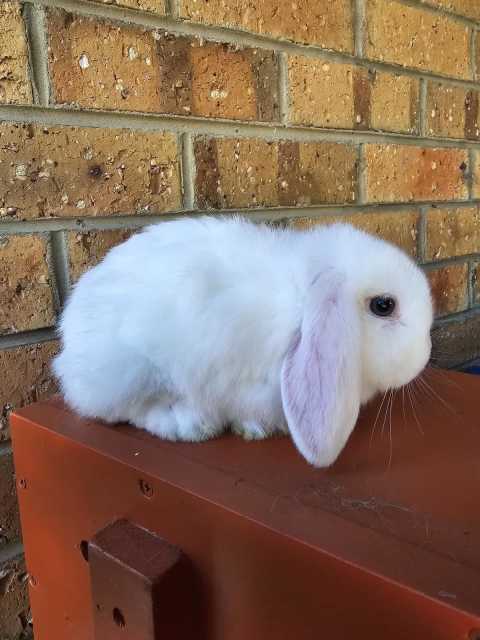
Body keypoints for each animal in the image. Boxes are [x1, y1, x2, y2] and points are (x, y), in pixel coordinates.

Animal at [53, 216, 433, 467]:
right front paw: (252, 430)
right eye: (384, 305)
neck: (300, 304)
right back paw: (192, 426)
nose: (425, 355)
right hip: (132, 369)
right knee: (128, 411)